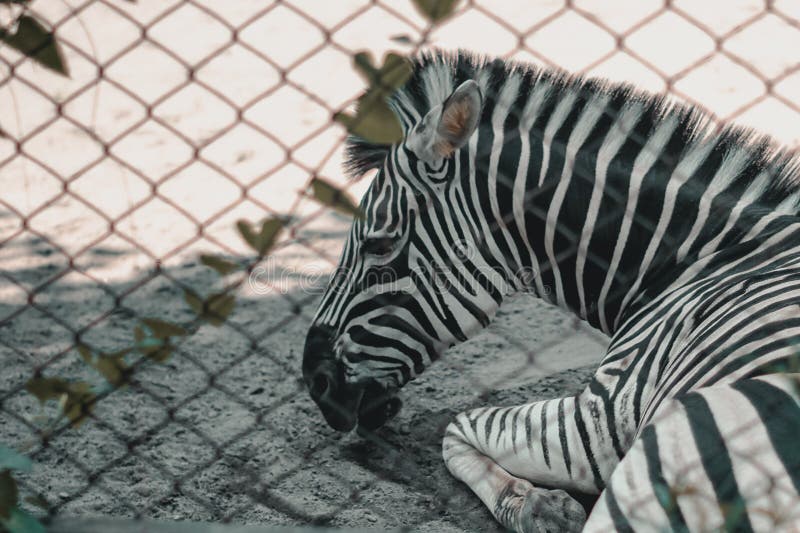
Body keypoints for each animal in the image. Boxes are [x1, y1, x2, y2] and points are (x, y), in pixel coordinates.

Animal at [301, 50, 800, 532]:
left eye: (380, 245)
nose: (314, 381)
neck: (695, 262)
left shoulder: (598, 423)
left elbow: (458, 426)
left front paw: (534, 505)